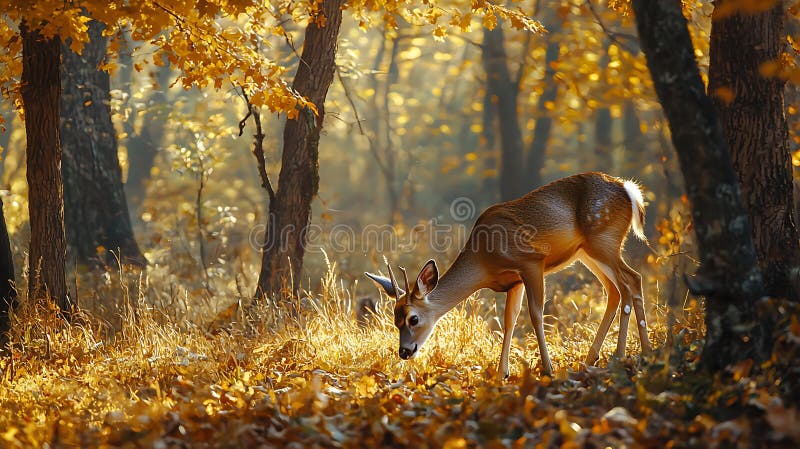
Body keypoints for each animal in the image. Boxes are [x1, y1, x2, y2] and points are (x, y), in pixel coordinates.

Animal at [365, 172, 653, 378]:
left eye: (413, 319)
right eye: (395, 320)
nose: (404, 351)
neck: (485, 259)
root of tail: (629, 190)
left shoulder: (531, 261)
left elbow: (535, 314)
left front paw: (547, 369)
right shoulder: (513, 282)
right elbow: (509, 320)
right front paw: (502, 373)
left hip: (603, 239)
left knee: (631, 280)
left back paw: (629, 354)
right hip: (587, 251)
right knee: (615, 289)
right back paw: (596, 357)